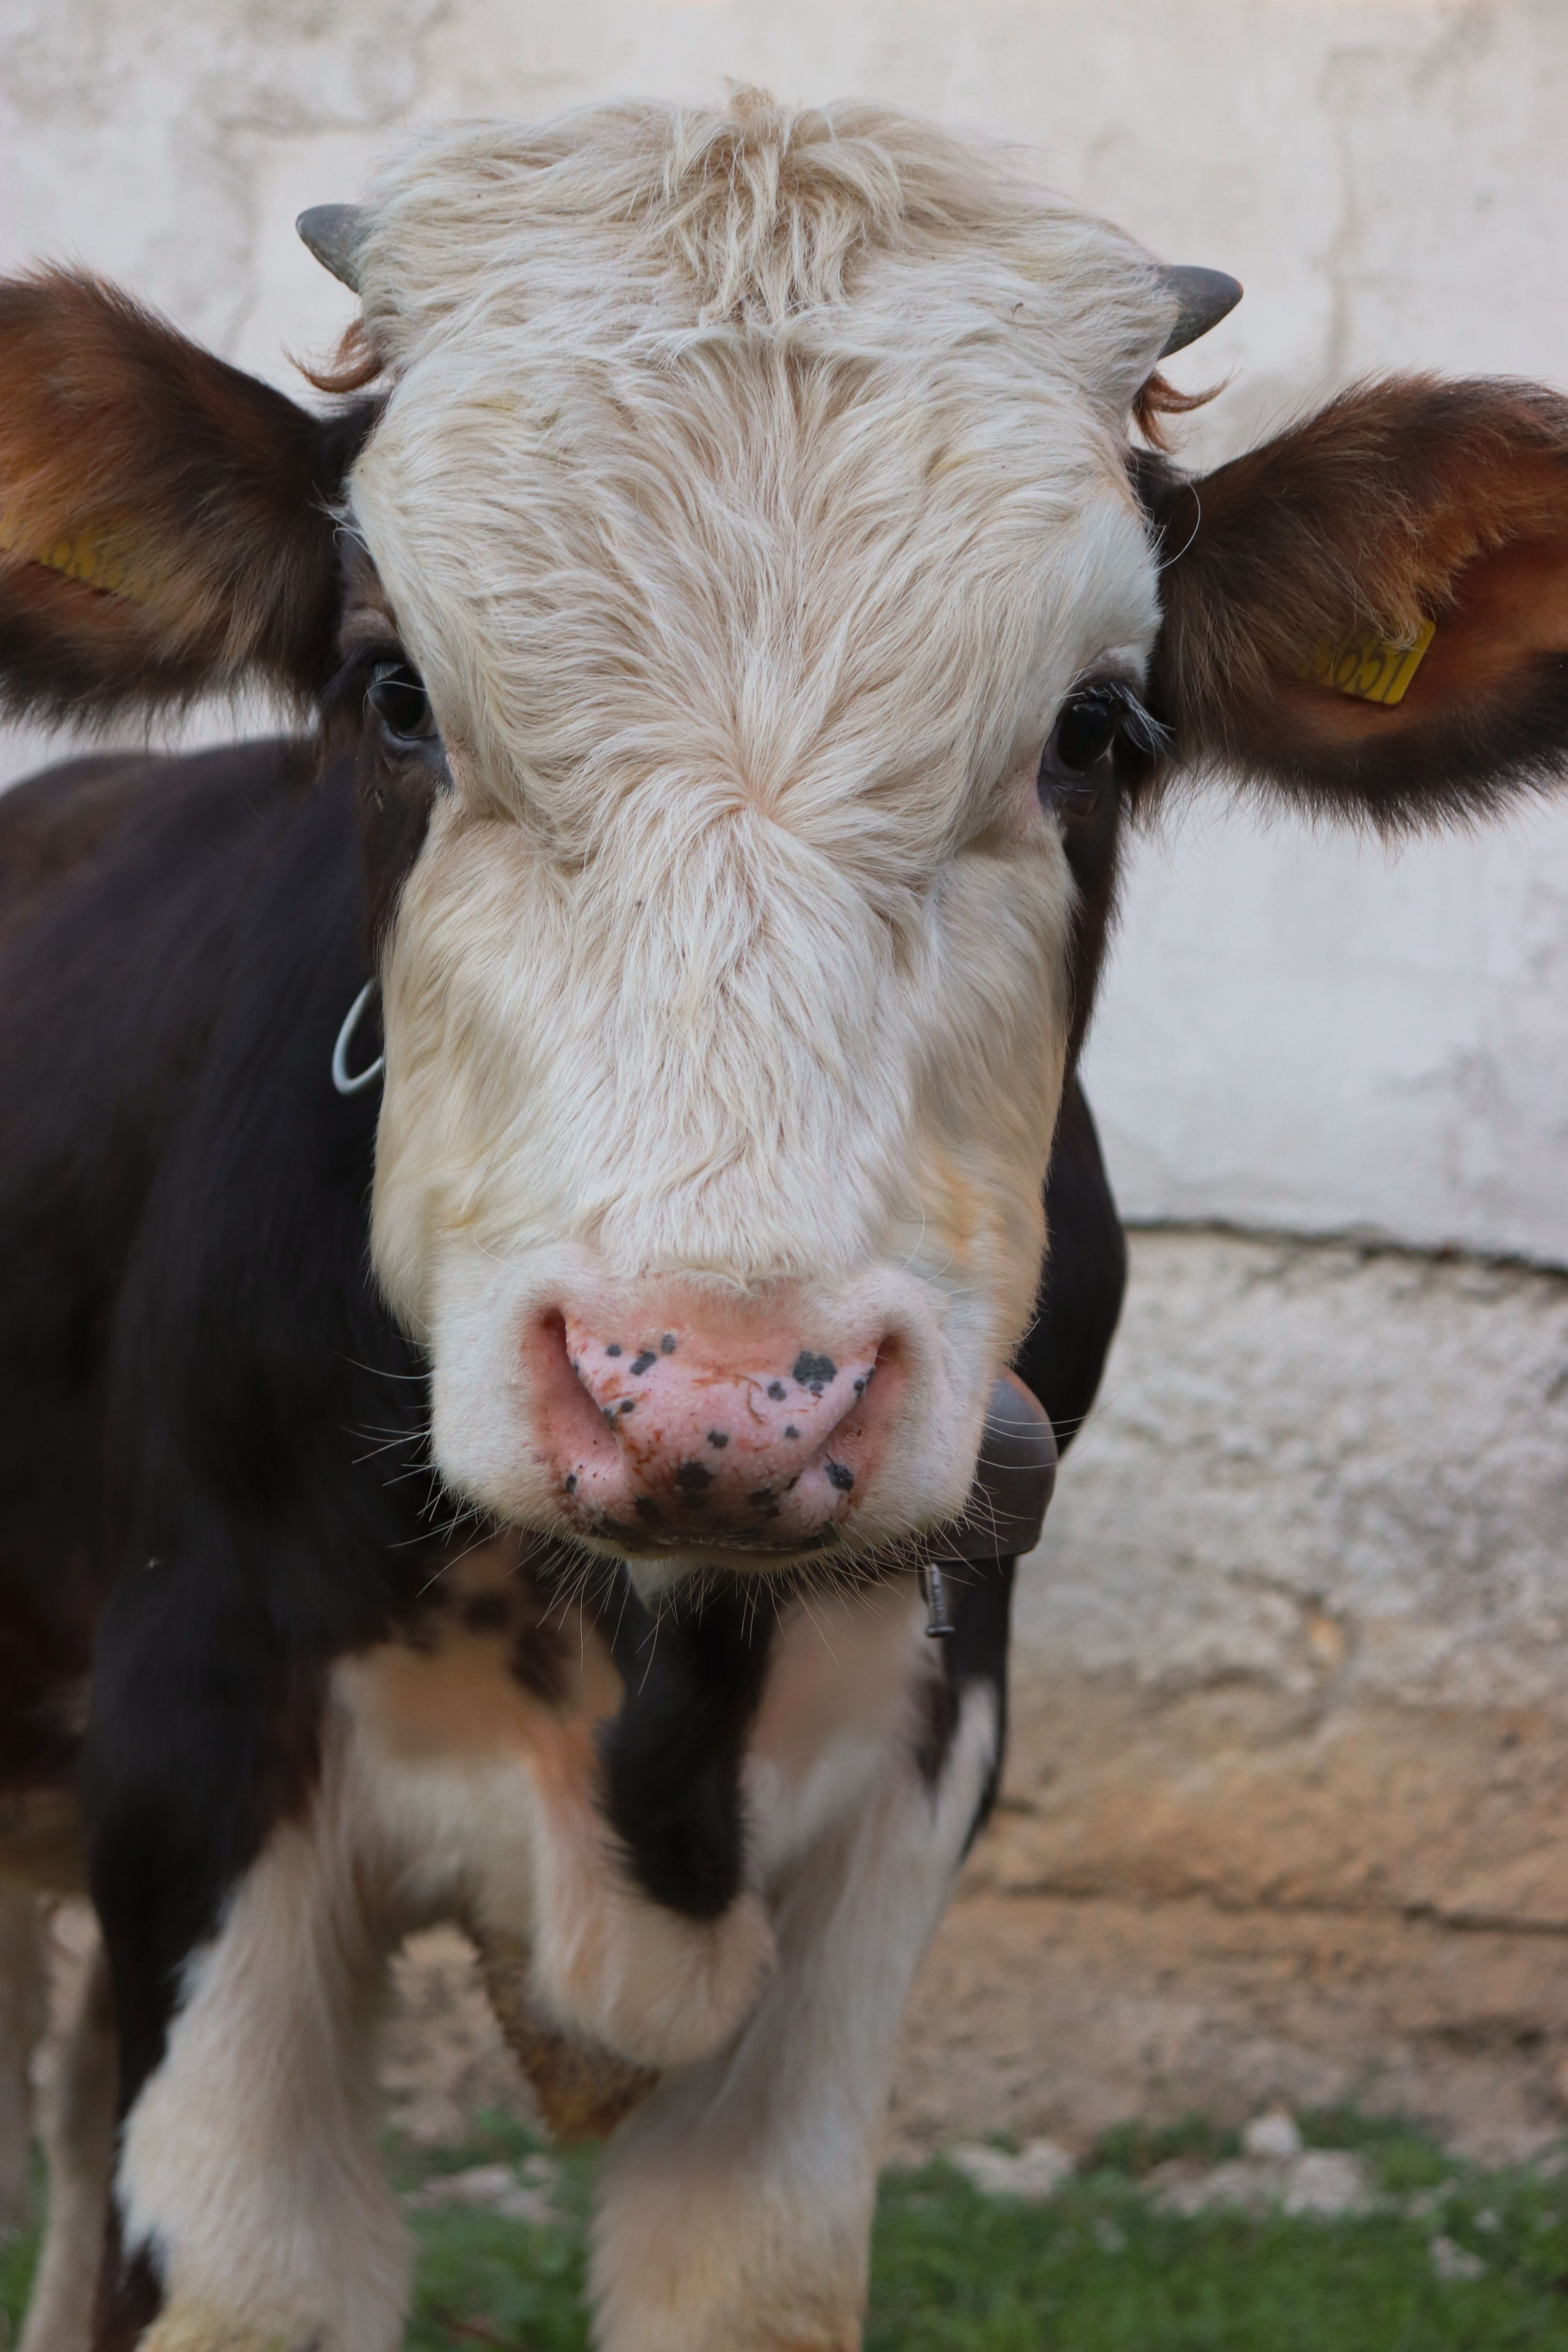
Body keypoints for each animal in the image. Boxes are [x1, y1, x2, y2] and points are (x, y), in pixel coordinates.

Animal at [4, 84, 1568, 2352]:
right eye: (392, 693)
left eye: (1098, 728)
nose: (718, 1397)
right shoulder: (202, 1742)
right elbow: (252, 2269)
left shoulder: (911, 1776)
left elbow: (751, 2261)